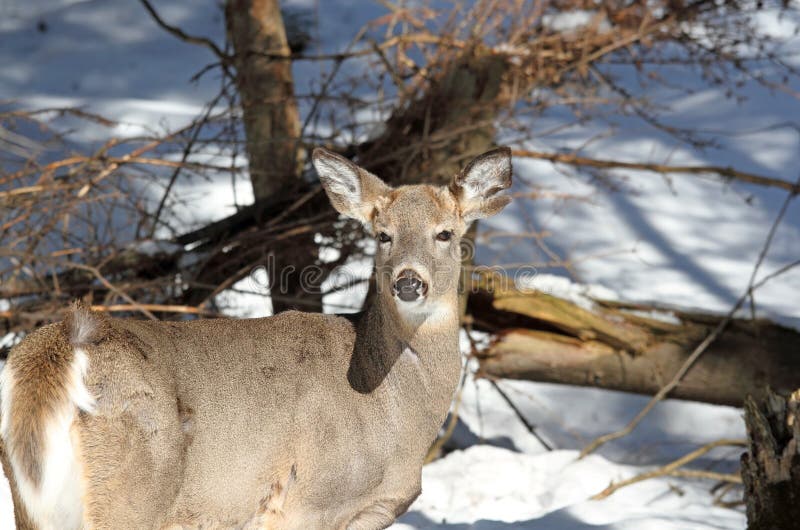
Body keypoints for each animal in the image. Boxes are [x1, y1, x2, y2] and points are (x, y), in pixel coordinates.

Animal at [0, 147, 512, 530]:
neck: (396, 417)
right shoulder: (312, 500)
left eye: (445, 233)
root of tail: (53, 353)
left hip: (37, 505)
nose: (409, 282)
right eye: (383, 235)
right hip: (132, 485)